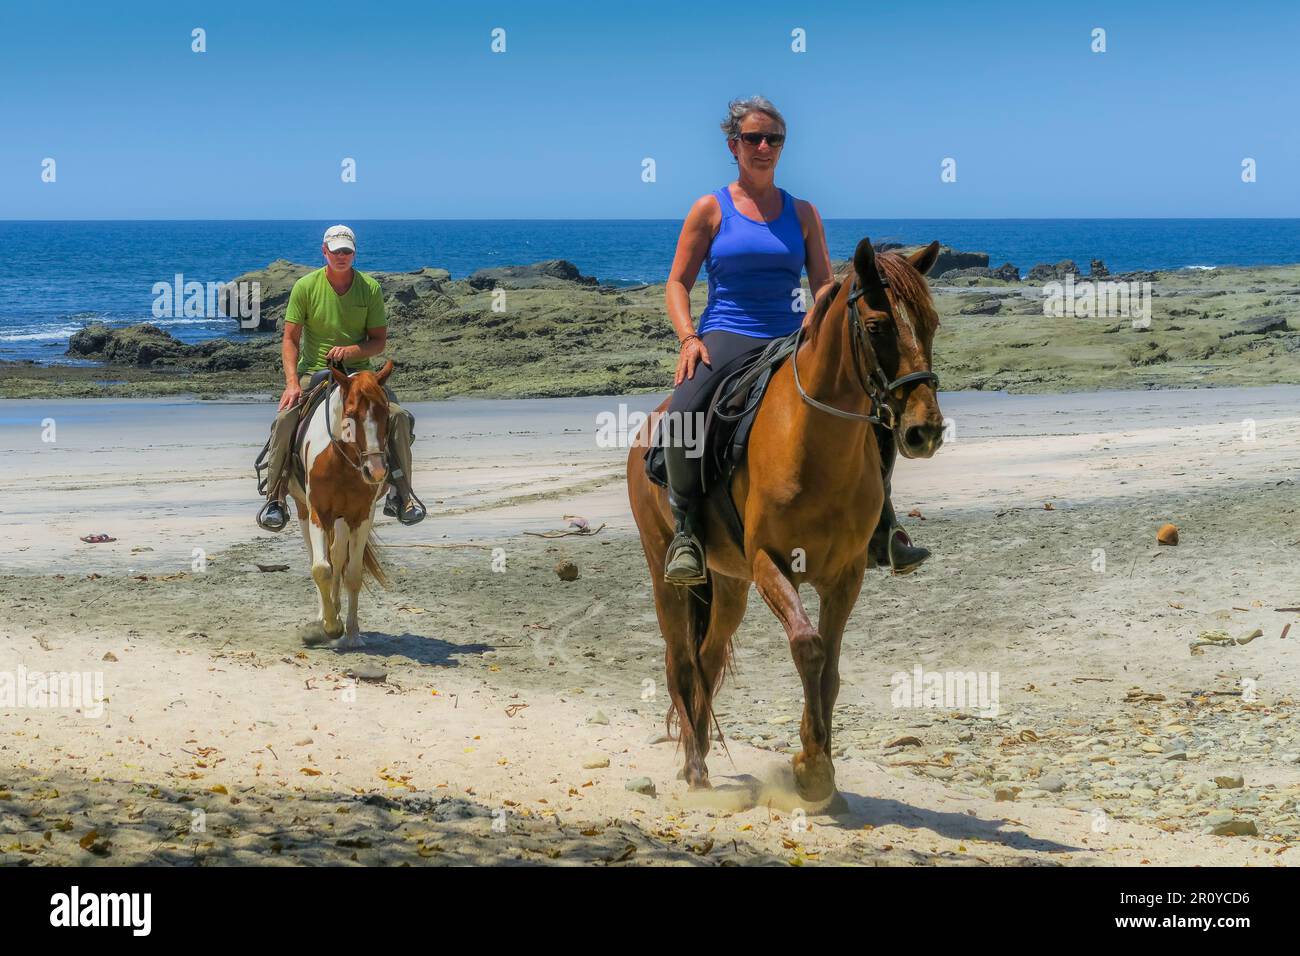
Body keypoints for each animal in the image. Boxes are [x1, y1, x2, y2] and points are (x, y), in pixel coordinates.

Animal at [288, 361, 394, 649]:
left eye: (386, 412)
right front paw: (329, 626)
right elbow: (321, 568)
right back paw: (324, 615)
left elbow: (353, 573)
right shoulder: (318, 512)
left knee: (337, 556)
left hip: (343, 519)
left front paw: (352, 633)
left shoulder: (361, 515)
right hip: (304, 511)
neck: (342, 460)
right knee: (320, 557)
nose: (376, 471)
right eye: (351, 413)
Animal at [626, 238, 945, 801]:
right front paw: (813, 767)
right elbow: (808, 648)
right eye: (878, 326)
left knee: (708, 657)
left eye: (931, 323)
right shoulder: (769, 562)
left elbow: (832, 670)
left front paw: (821, 762)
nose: (924, 431)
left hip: (730, 584)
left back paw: (701, 750)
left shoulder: (846, 575)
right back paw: (694, 767)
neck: (816, 444)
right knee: (680, 661)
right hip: (667, 571)